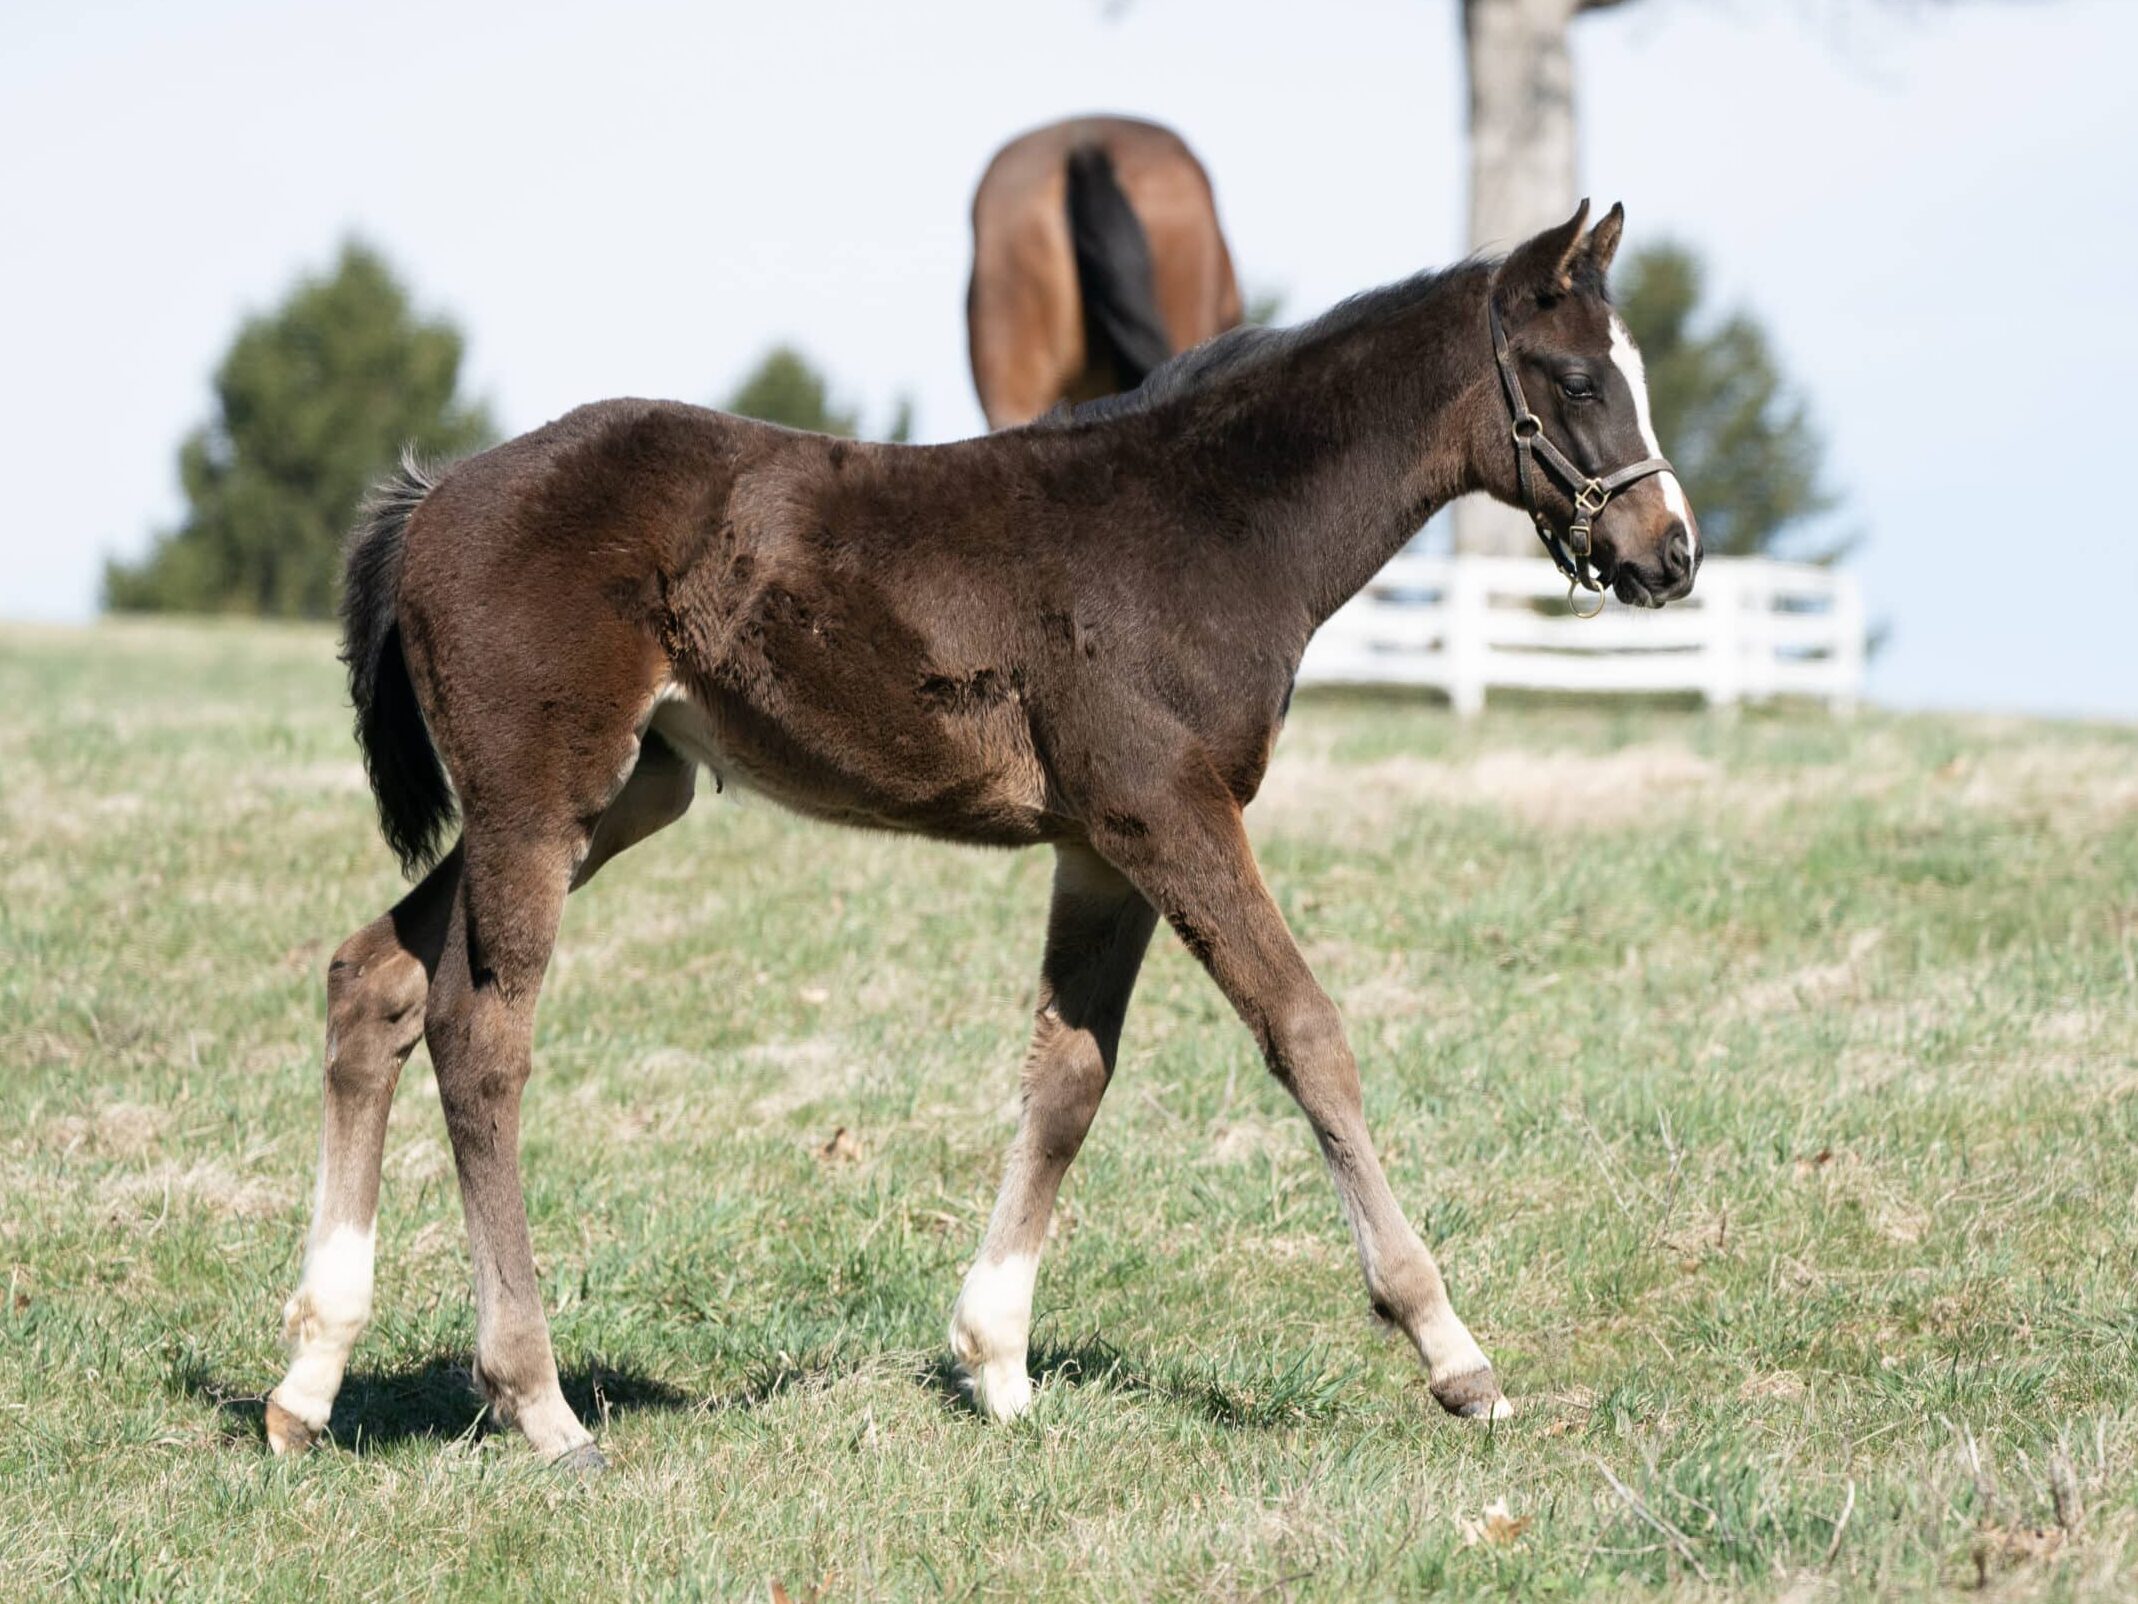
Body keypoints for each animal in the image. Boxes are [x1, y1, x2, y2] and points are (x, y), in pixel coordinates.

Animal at [265, 201, 1700, 1467]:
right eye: (1577, 378)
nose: (1670, 552)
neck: (1208, 525)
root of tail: (434, 495)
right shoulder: (1168, 811)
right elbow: (1304, 1035)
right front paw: (1450, 1350)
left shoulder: (1100, 847)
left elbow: (1068, 1074)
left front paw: (996, 1359)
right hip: (540, 798)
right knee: (481, 1036)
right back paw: (536, 1400)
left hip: (619, 795)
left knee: (374, 980)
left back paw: (308, 1379)